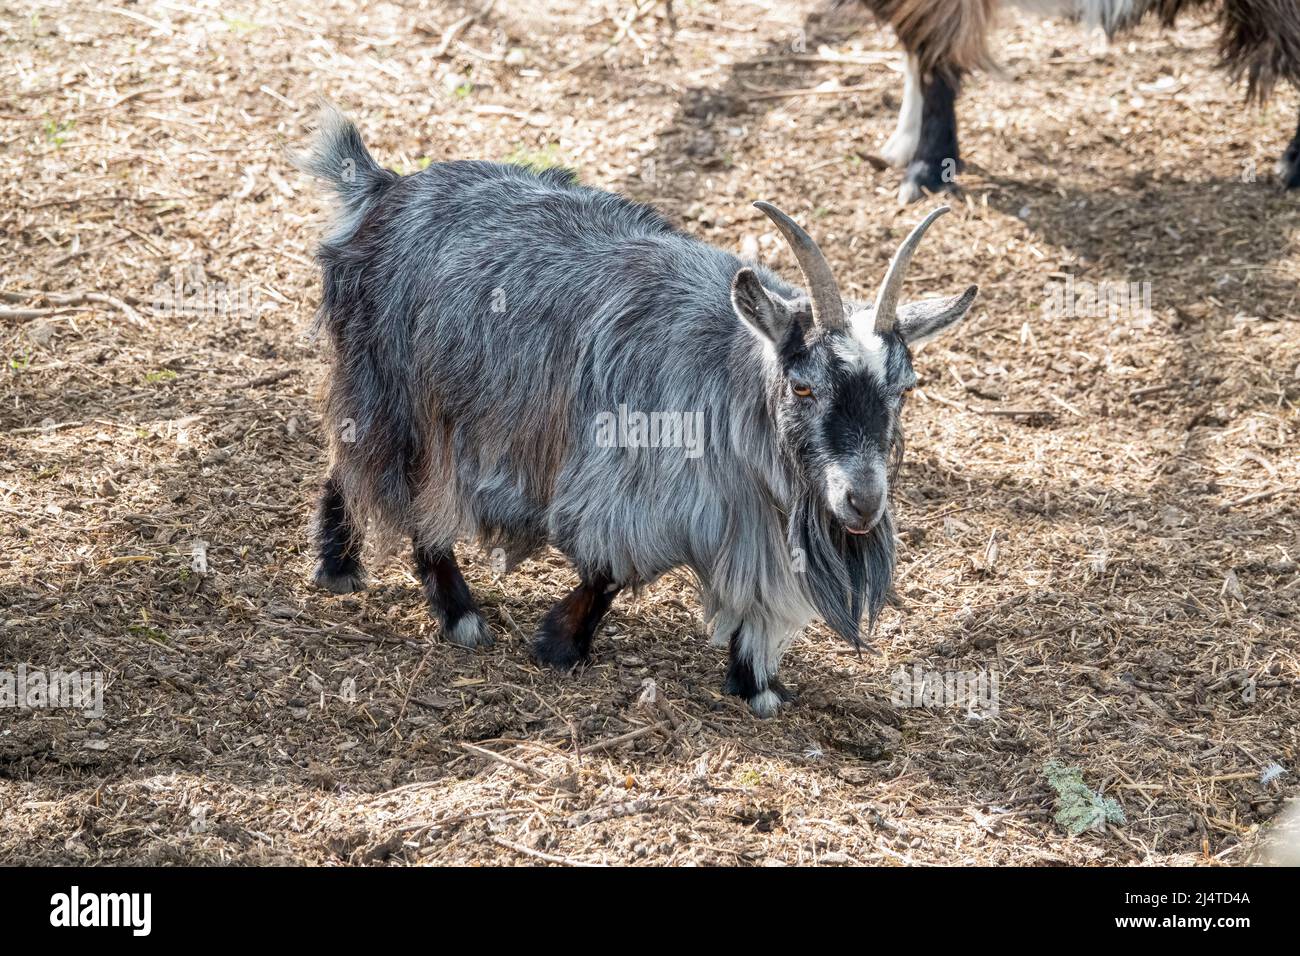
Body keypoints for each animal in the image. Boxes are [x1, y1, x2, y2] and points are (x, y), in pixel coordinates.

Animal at [297, 107, 977, 716]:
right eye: (804, 388)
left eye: (904, 389)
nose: (863, 503)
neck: (724, 370)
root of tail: (384, 189)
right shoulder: (620, 481)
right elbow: (608, 571)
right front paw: (560, 644)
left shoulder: (751, 516)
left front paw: (757, 682)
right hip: (404, 402)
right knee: (391, 483)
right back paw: (439, 605)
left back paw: (346, 566)